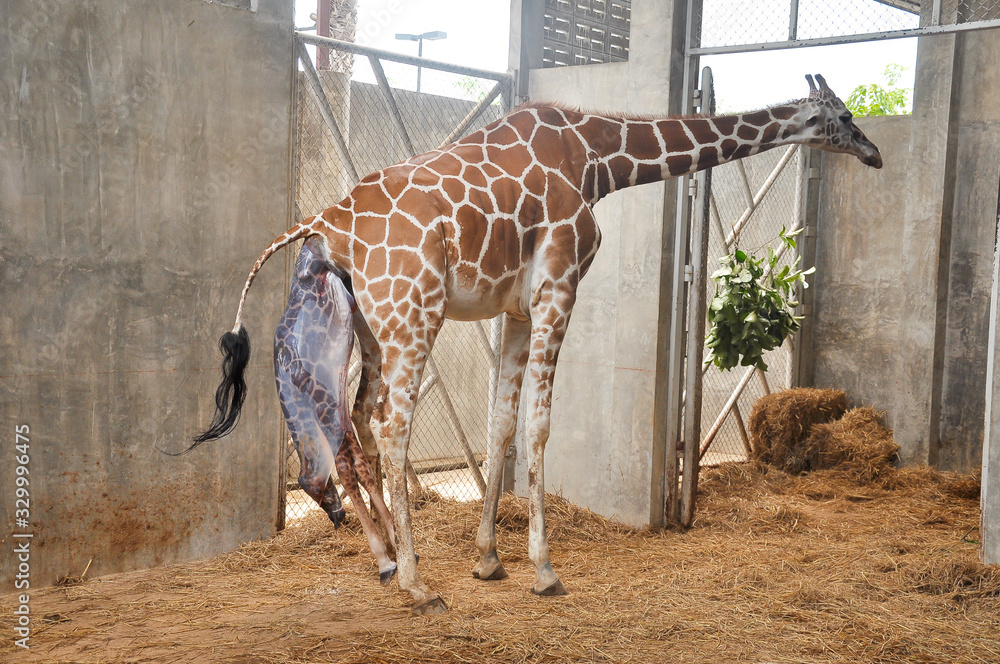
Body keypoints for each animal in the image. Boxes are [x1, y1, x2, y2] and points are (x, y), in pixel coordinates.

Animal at [273, 236, 398, 583]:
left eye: (317, 492)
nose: (337, 517)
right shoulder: (336, 404)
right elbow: (361, 465)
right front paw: (394, 544)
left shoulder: (325, 401)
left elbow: (346, 469)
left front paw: (386, 559)